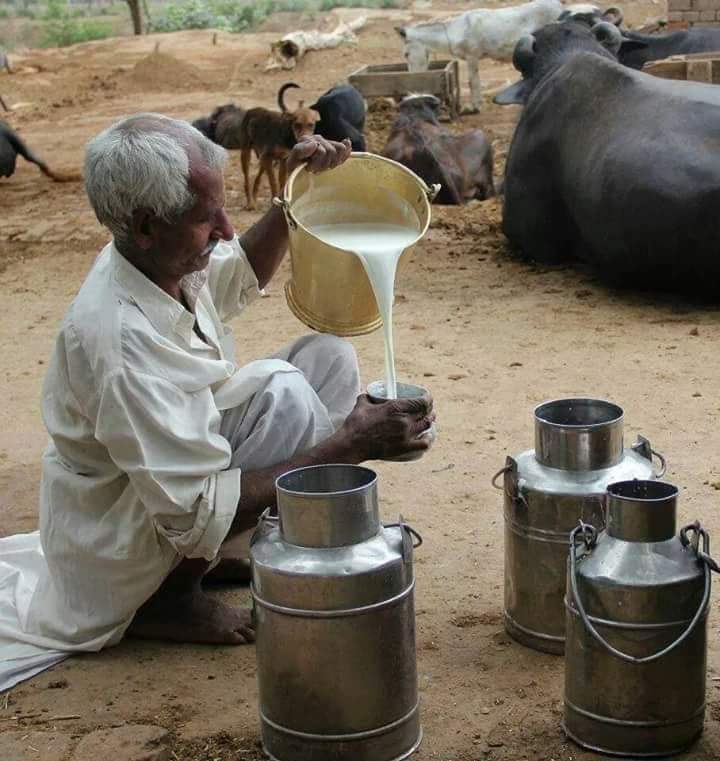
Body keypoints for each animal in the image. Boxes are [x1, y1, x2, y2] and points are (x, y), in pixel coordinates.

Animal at [239, 83, 318, 211]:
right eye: (297, 124)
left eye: (311, 125)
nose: (305, 140)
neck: (287, 134)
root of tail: (252, 110)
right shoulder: (268, 157)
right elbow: (273, 182)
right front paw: (274, 200)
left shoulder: (283, 160)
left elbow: (282, 181)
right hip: (247, 154)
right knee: (247, 179)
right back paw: (250, 203)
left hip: (264, 160)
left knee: (257, 179)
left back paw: (254, 200)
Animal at [400, 0, 592, 111]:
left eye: (406, 54)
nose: (412, 78)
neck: (456, 30)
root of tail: (560, 6)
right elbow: (474, 81)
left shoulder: (472, 56)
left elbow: (472, 82)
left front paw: (473, 108)